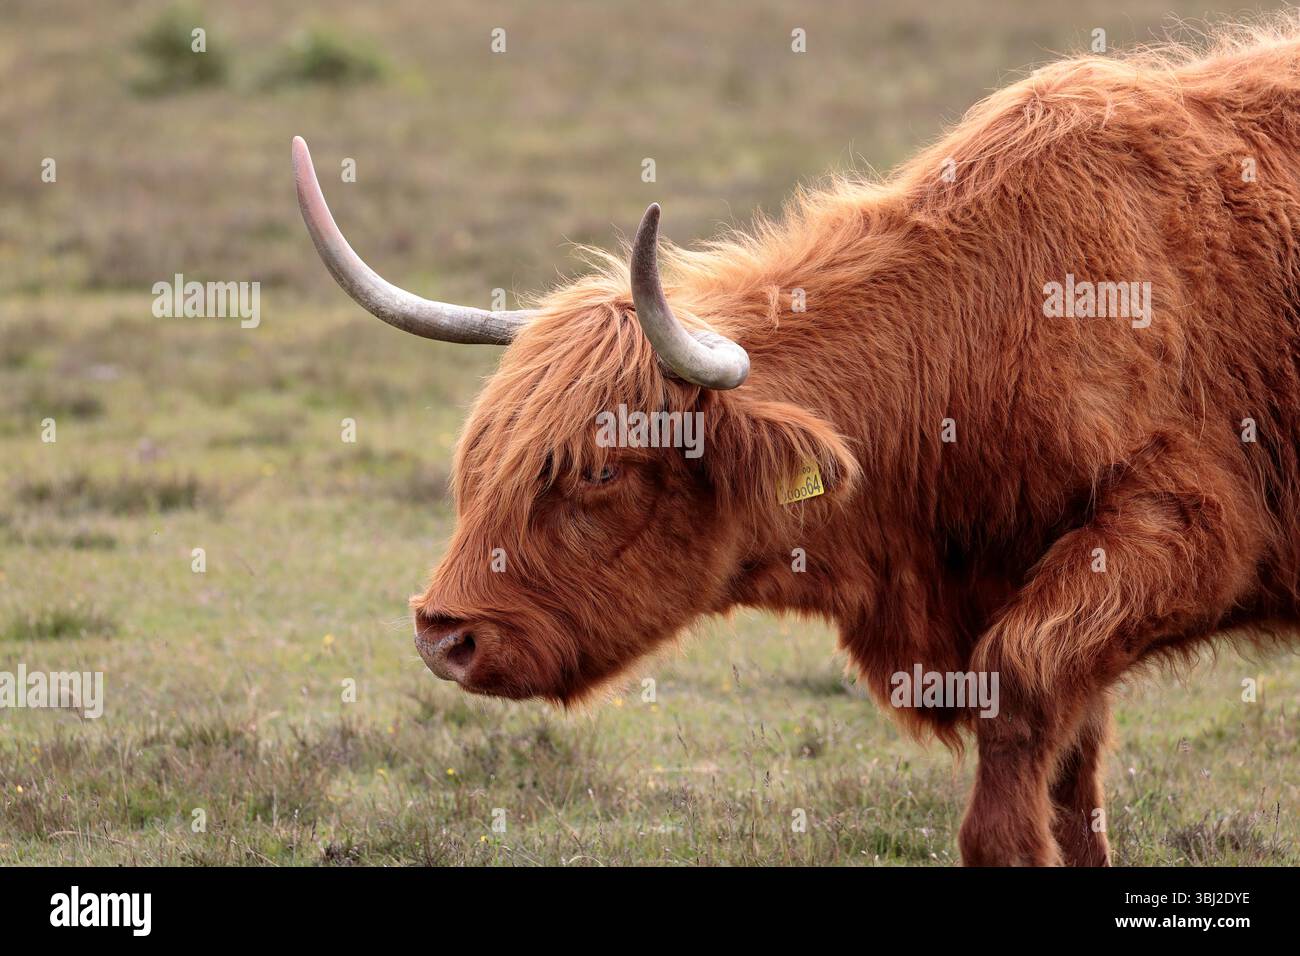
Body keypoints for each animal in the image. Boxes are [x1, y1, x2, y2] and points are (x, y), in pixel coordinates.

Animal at [293, 22, 1300, 866]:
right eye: (477, 465)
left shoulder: (1186, 529)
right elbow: (1070, 780)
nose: (442, 635)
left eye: (601, 469)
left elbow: (1014, 696)